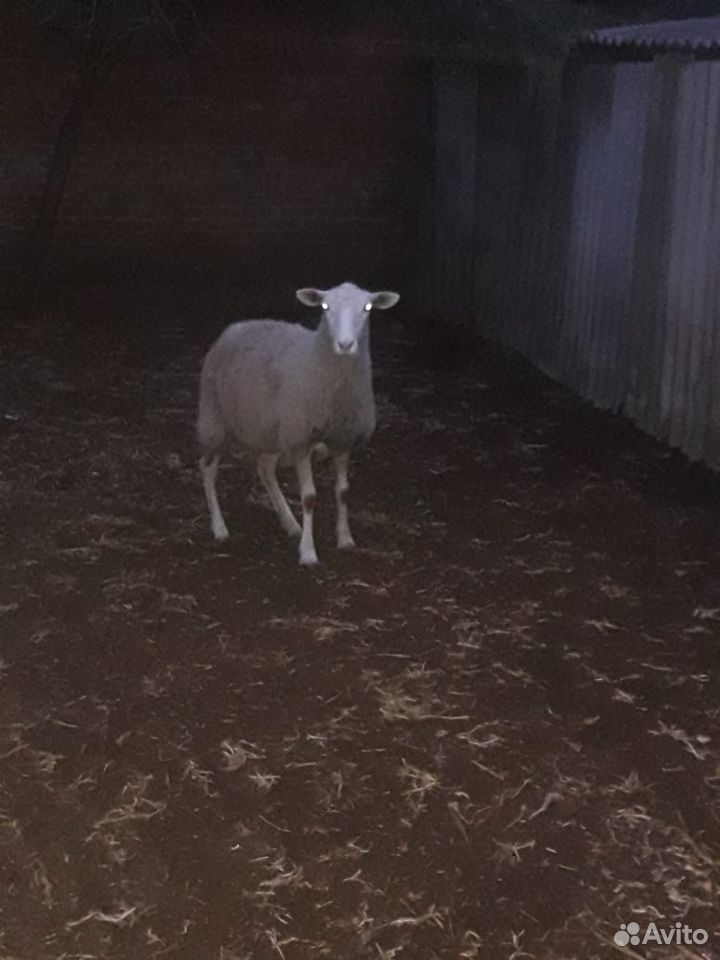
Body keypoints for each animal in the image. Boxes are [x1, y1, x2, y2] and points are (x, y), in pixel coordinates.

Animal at [196, 281, 400, 565]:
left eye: (367, 307)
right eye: (325, 307)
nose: (345, 344)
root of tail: (236, 327)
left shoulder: (342, 439)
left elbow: (343, 491)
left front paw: (345, 538)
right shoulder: (300, 438)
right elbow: (309, 498)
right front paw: (308, 552)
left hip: (272, 429)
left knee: (265, 468)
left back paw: (290, 523)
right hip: (215, 419)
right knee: (207, 469)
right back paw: (219, 527)